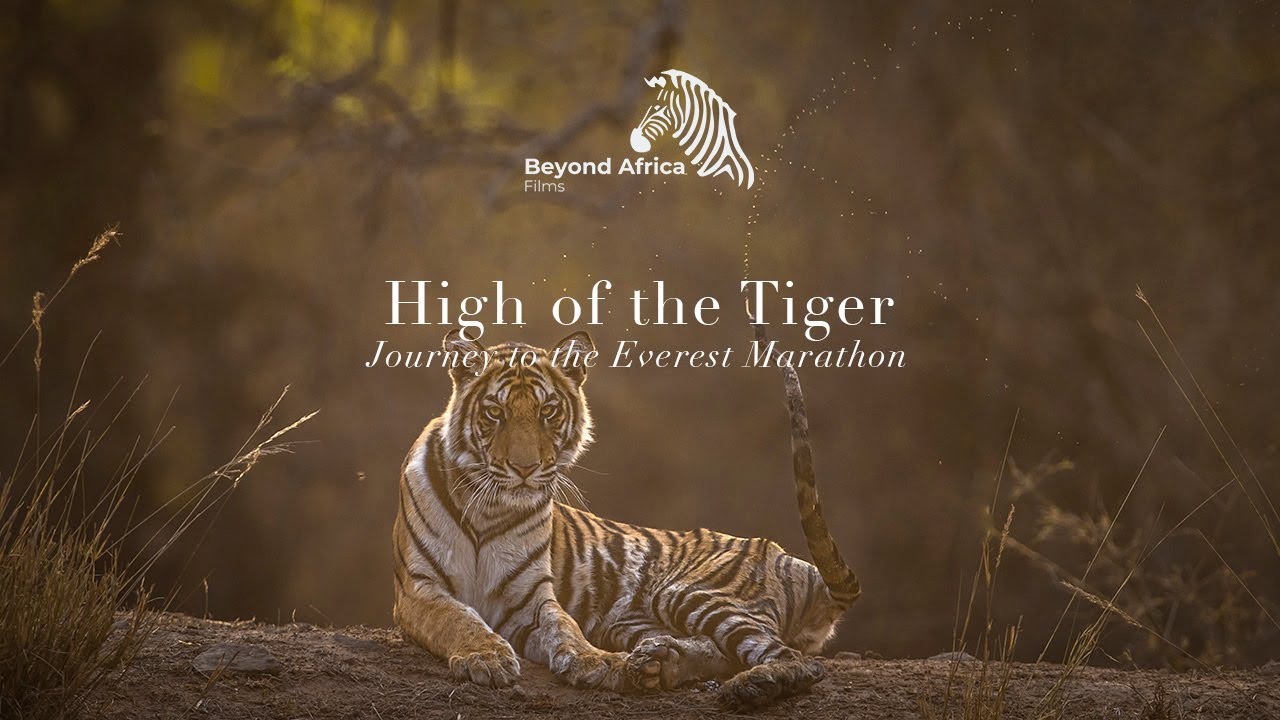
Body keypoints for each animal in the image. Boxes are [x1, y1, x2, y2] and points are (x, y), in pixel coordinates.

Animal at [392, 328, 860, 709]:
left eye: (548, 412)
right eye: (495, 412)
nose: (525, 468)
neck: (490, 507)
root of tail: (798, 563)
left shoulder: (531, 599)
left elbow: (564, 628)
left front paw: (594, 662)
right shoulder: (419, 590)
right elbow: (457, 619)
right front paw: (487, 657)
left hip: (690, 592)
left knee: (798, 662)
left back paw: (747, 686)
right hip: (637, 620)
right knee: (729, 653)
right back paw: (659, 663)